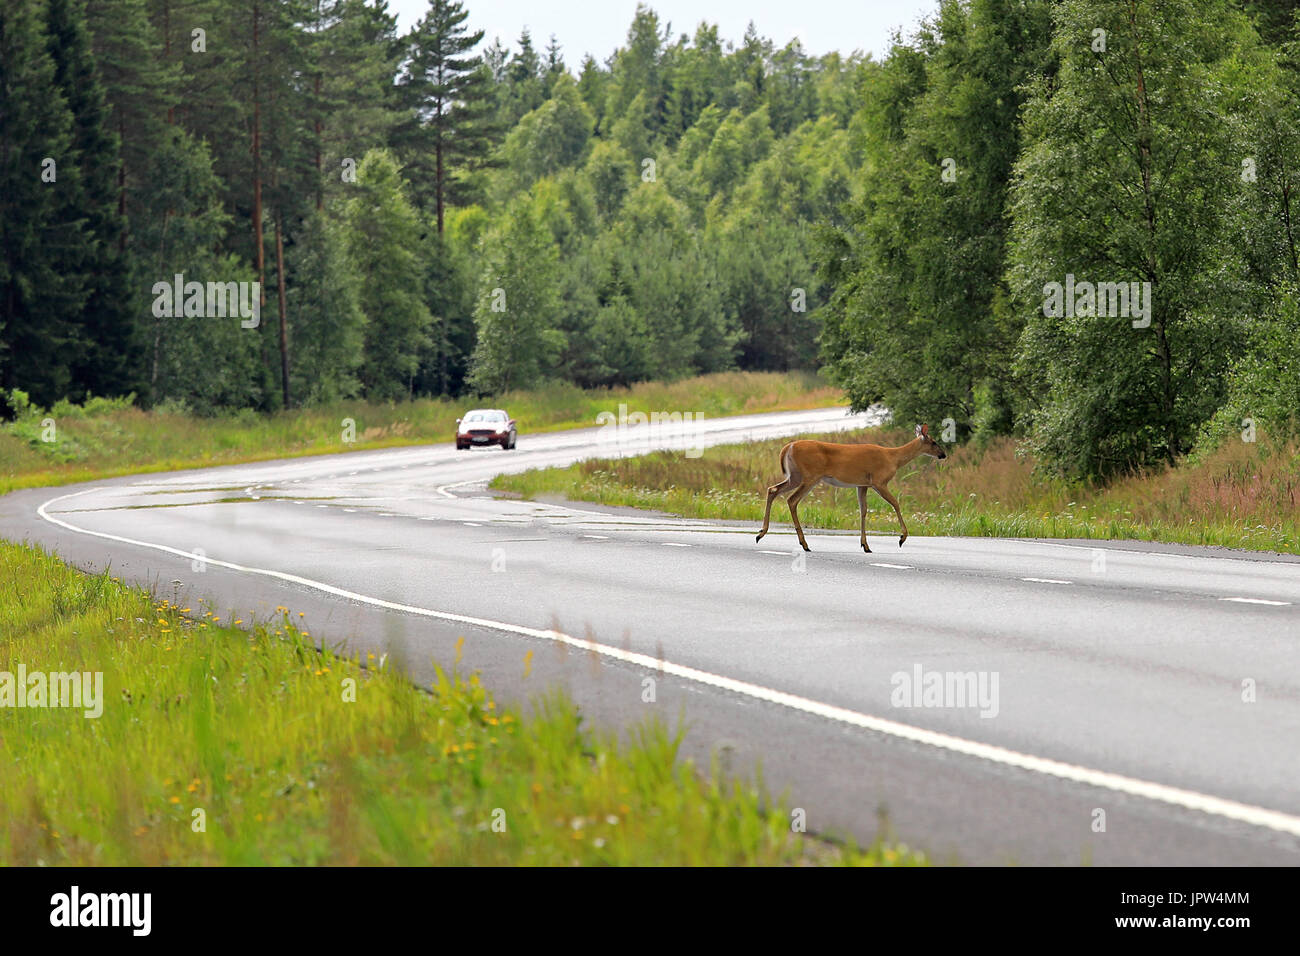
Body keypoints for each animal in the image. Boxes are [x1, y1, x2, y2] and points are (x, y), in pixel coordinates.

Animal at [755, 424, 947, 553]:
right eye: (934, 442)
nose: (943, 454)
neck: (893, 458)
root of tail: (787, 447)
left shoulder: (862, 484)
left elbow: (863, 510)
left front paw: (865, 545)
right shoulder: (879, 481)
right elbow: (896, 504)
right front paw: (902, 538)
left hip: (795, 476)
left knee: (773, 490)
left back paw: (761, 533)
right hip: (810, 476)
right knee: (792, 500)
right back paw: (804, 544)